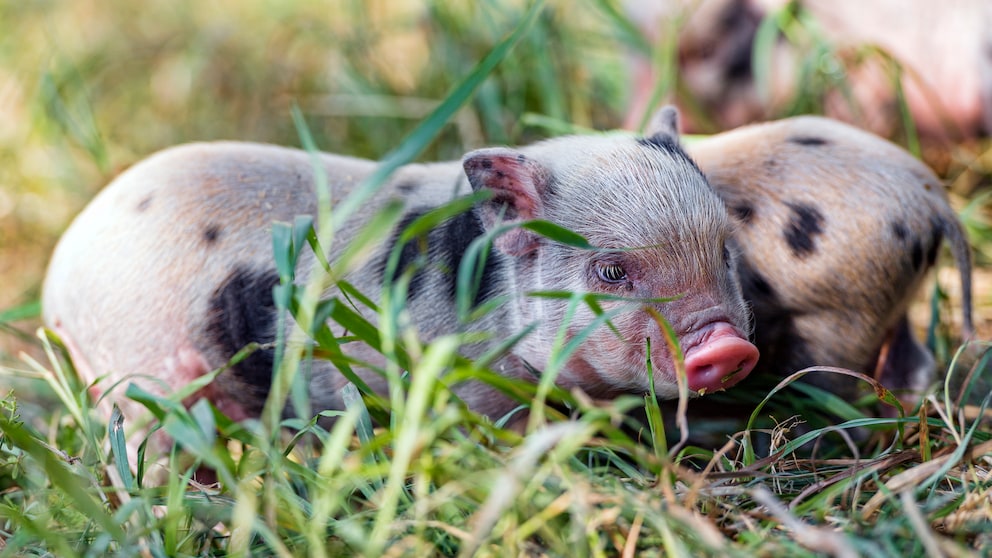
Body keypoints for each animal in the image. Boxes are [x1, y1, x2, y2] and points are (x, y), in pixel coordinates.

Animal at [42, 108, 759, 458]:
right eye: (611, 271)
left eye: (725, 251)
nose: (728, 345)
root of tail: (57, 280)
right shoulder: (465, 385)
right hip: (135, 376)